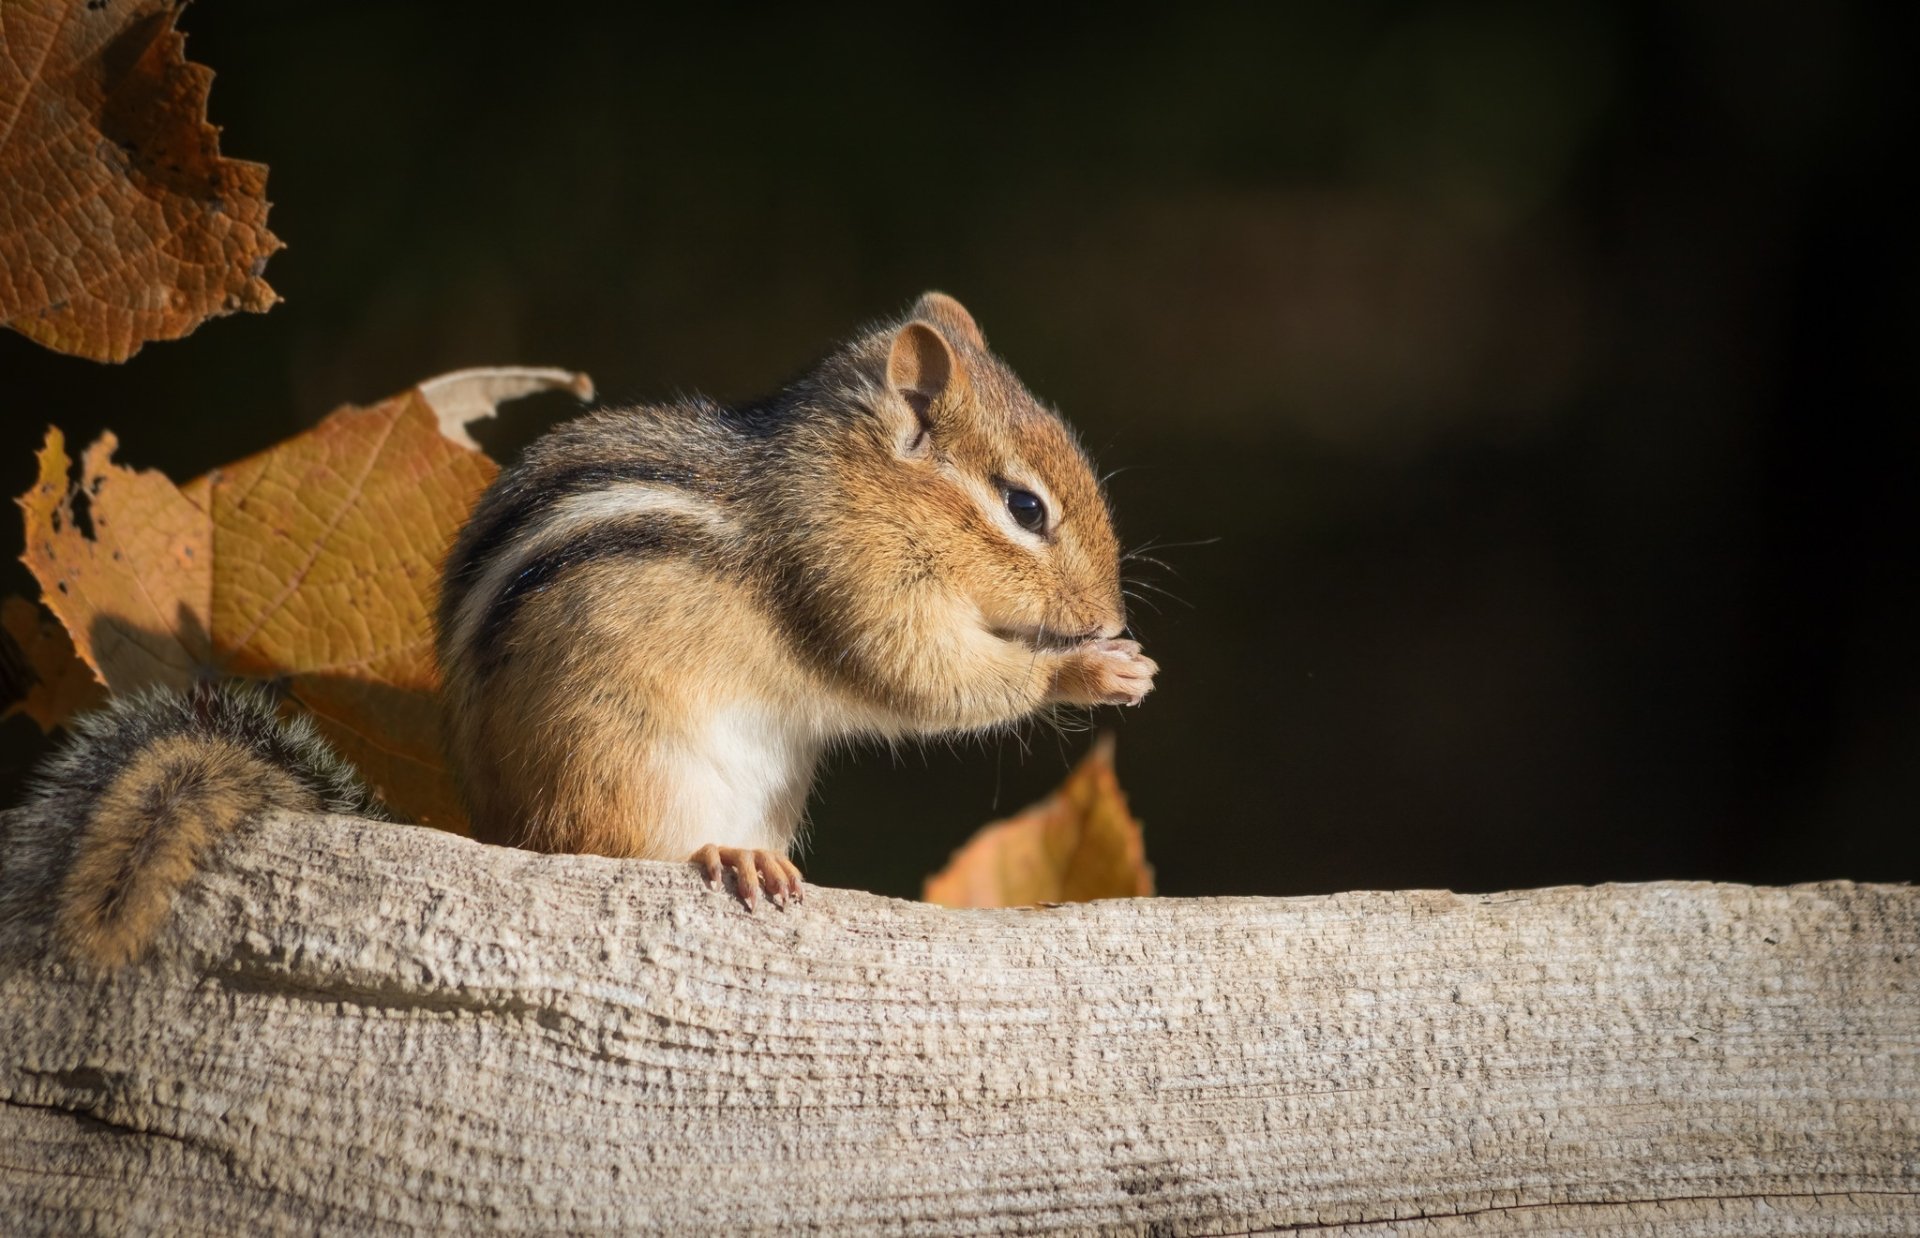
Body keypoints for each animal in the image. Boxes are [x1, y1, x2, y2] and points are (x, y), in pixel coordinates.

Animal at [4, 292, 1155, 968]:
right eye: (1026, 508)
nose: (1109, 615)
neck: (856, 482)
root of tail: (503, 827)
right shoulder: (850, 583)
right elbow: (925, 682)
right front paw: (1089, 673)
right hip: (623, 762)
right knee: (611, 847)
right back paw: (728, 857)